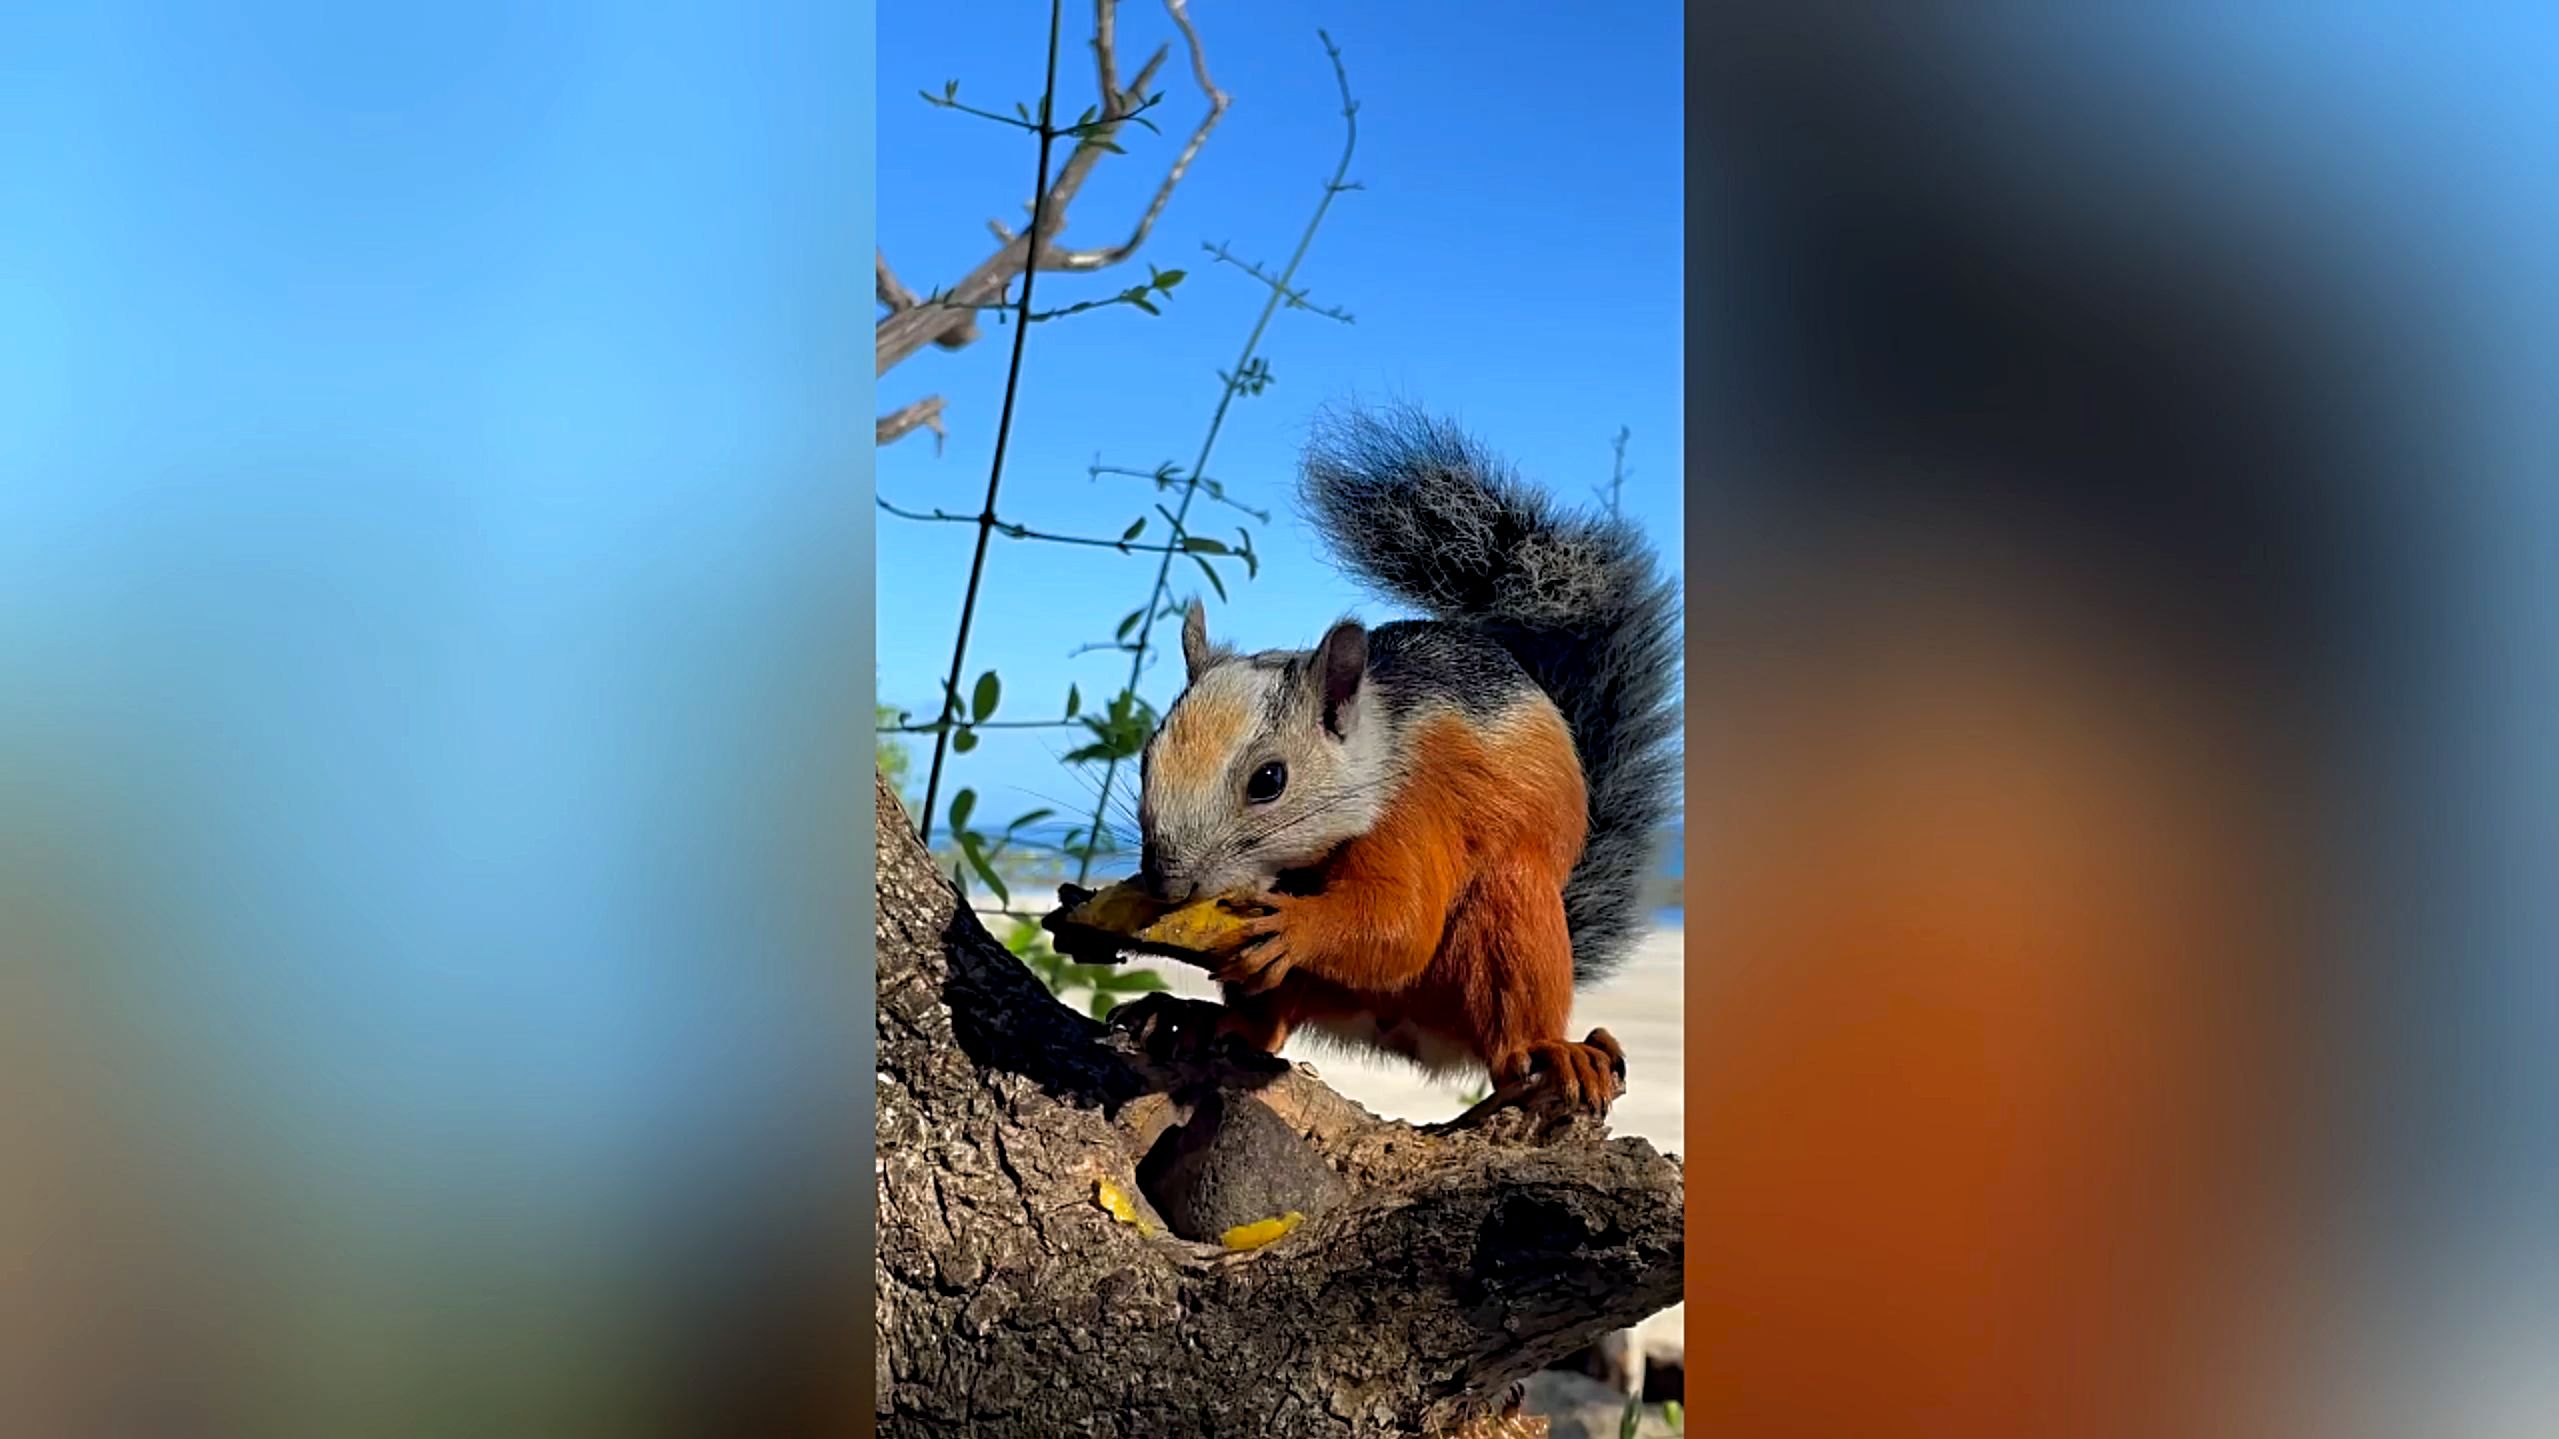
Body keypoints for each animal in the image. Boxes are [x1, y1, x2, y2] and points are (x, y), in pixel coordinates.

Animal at [1115, 406, 1680, 1115]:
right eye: (1145, 758)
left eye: (1270, 780)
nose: (1166, 886)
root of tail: (1400, 1030)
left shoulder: (1414, 812)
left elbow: (1400, 926)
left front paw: (1299, 927)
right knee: (1264, 1024)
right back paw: (1194, 1016)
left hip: (1512, 911)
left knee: (1507, 1031)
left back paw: (1552, 1050)